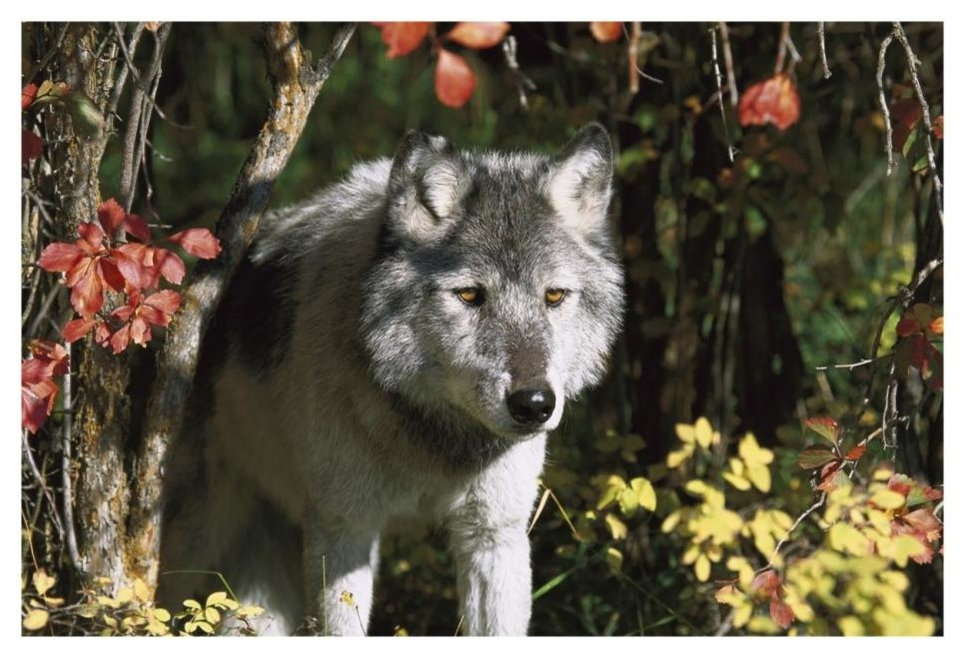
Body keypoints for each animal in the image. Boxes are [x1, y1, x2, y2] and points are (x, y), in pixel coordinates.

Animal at [157, 123, 625, 636]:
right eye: (469, 295)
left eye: (554, 296)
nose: (534, 404)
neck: (431, 435)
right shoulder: (345, 529)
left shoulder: (494, 534)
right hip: (194, 543)